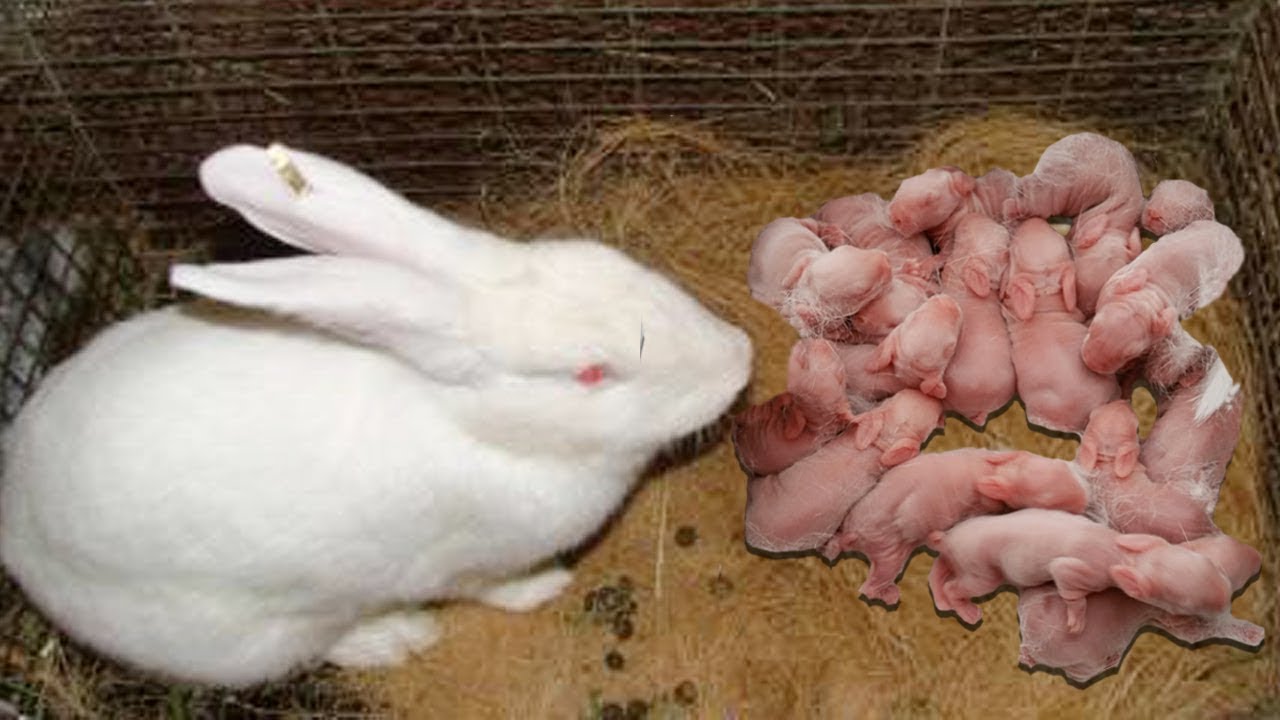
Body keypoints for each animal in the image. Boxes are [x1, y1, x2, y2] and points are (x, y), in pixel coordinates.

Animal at [0, 144, 754, 688]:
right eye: (592, 373)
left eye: (616, 262)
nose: (740, 360)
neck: (473, 420)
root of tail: (18, 530)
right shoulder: (470, 559)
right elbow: (495, 586)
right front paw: (548, 588)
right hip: (250, 635)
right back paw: (394, 637)